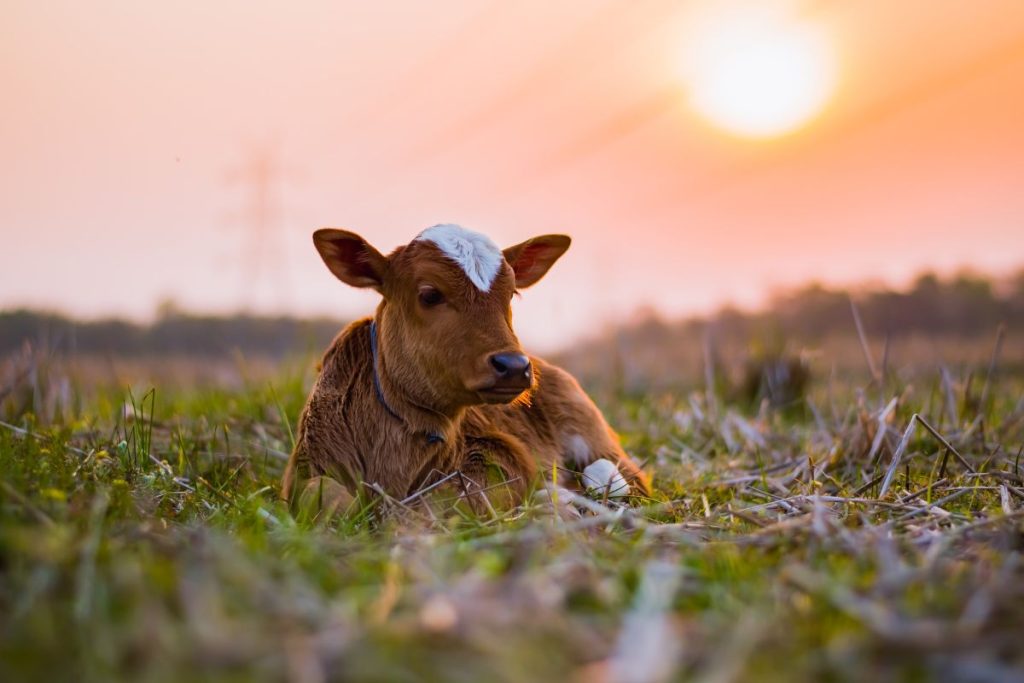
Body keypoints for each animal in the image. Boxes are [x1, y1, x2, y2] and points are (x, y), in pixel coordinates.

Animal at [282, 224, 651, 517]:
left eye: (511, 293)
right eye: (430, 294)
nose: (514, 366)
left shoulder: (499, 452)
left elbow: (451, 496)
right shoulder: (306, 464)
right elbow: (325, 495)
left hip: (591, 430)